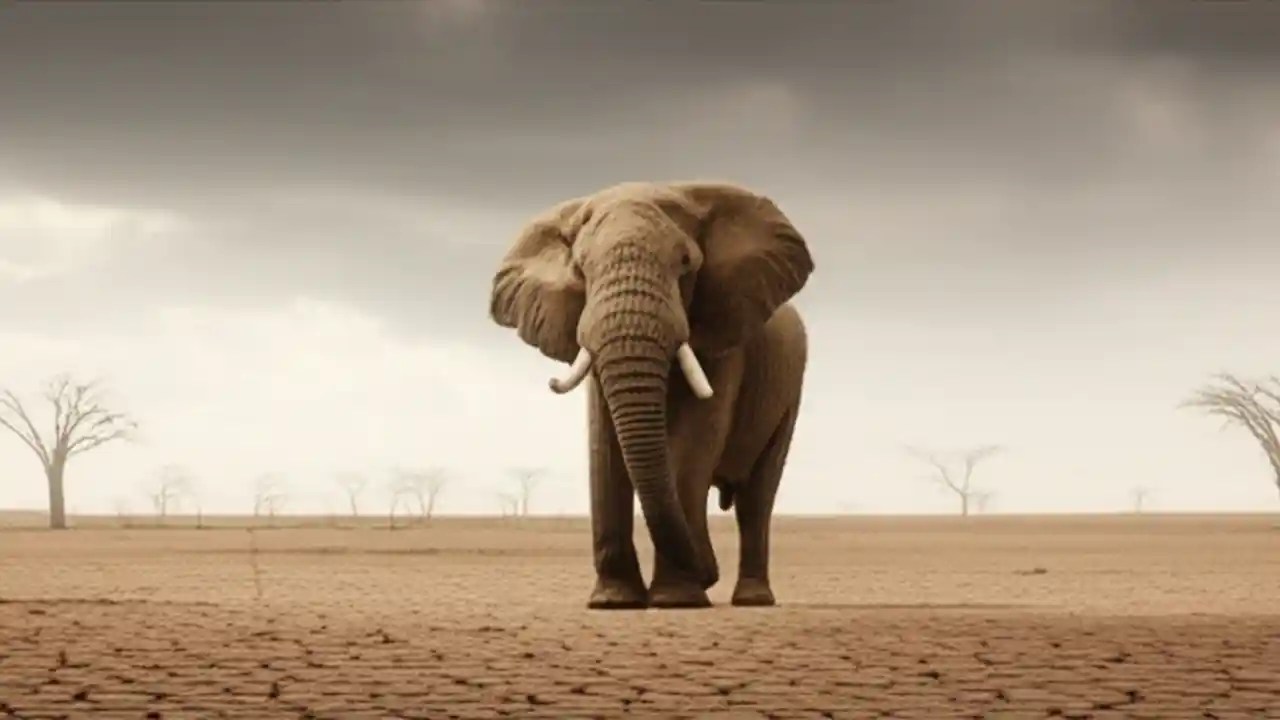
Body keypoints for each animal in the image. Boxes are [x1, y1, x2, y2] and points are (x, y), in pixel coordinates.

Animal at [488, 181, 813, 609]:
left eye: (686, 264)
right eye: (580, 269)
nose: (709, 572)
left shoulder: (724, 335)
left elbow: (695, 440)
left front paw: (677, 600)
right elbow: (603, 448)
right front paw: (613, 603)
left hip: (790, 392)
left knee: (756, 498)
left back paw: (752, 599)